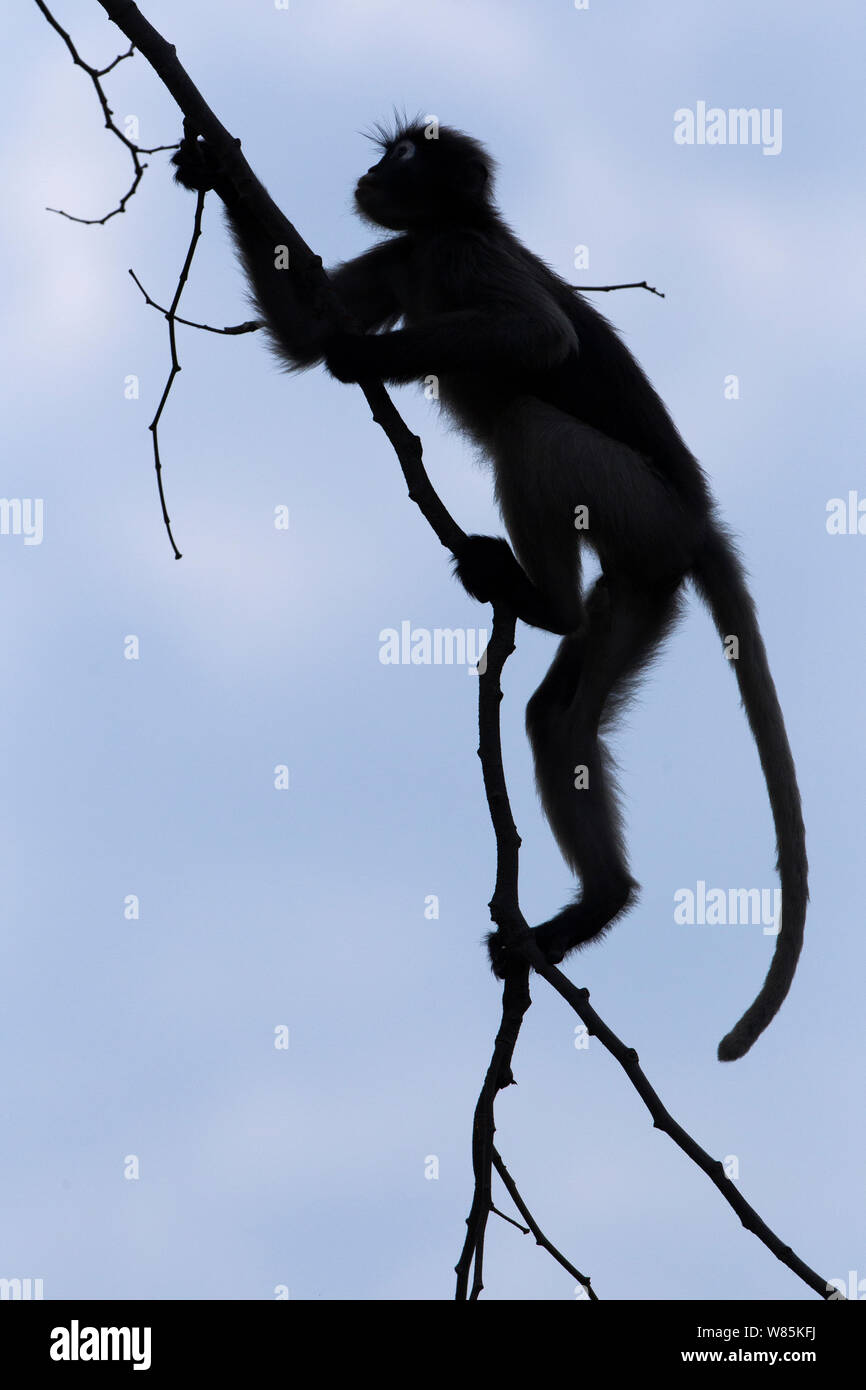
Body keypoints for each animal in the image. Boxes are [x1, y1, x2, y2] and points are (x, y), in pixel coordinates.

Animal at [172, 119, 807, 1062]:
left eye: (407, 155)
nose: (371, 171)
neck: (450, 232)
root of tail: (698, 519)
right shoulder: (407, 252)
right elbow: (304, 332)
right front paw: (212, 164)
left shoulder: (455, 250)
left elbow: (537, 341)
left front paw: (372, 357)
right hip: (645, 578)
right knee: (559, 717)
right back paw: (598, 903)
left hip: (633, 500)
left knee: (528, 422)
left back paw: (542, 602)